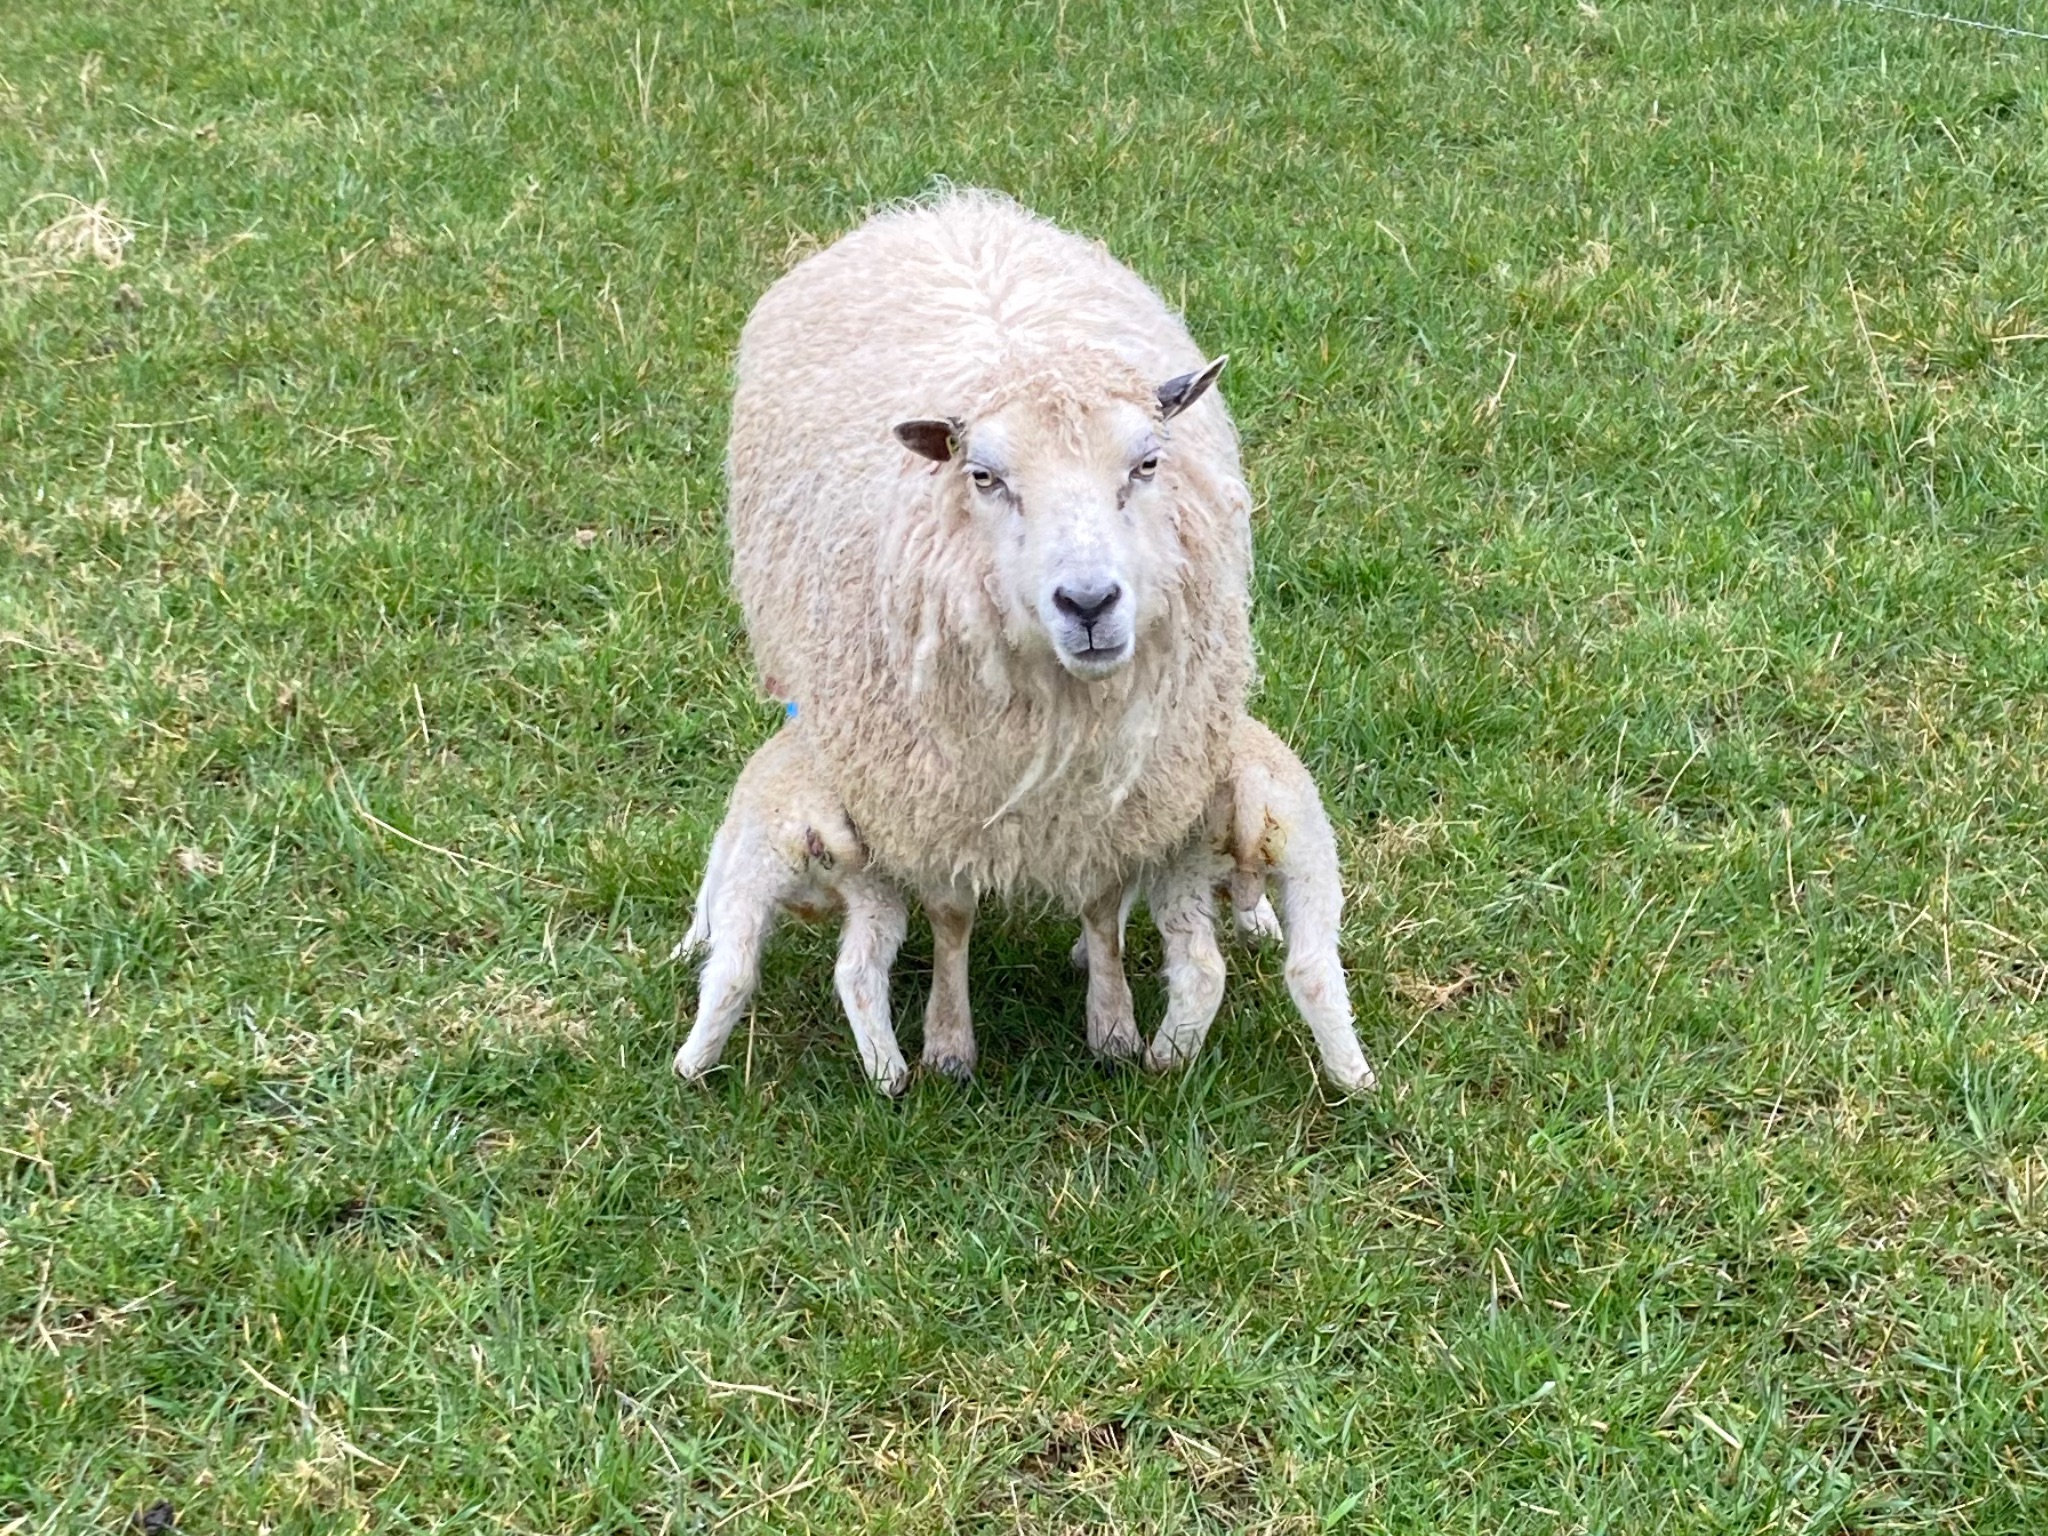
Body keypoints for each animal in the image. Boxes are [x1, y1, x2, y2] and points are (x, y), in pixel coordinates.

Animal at [671, 721, 912, 1096]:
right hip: (873, 890)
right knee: (857, 973)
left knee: (731, 972)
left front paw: (686, 948)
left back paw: (691, 1060)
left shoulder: (728, 841)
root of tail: (817, 813)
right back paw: (887, 1072)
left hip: (751, 873)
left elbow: (707, 896)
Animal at [725, 190, 1256, 1081]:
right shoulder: (934, 793)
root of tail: (943, 209)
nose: (1088, 602)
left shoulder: (1115, 798)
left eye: (1147, 464)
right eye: (984, 477)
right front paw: (947, 1043)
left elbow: (1101, 906)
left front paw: (1112, 1024)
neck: (1064, 713)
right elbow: (951, 917)